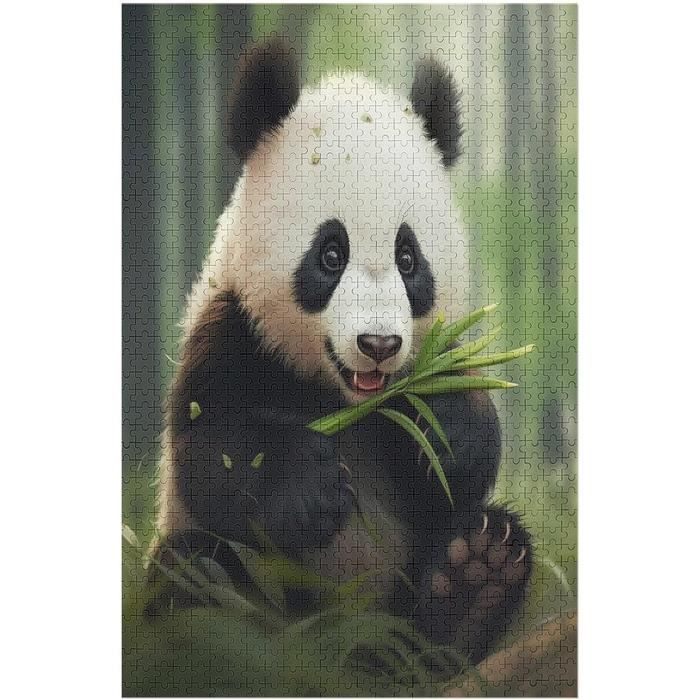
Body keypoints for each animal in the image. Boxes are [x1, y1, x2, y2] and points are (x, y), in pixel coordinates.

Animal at [151, 39, 532, 663]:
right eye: (331, 254)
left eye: (408, 258)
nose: (379, 345)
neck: (345, 400)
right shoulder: (231, 329)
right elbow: (207, 455)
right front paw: (309, 484)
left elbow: (459, 470)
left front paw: (440, 425)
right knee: (194, 568)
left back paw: (474, 584)